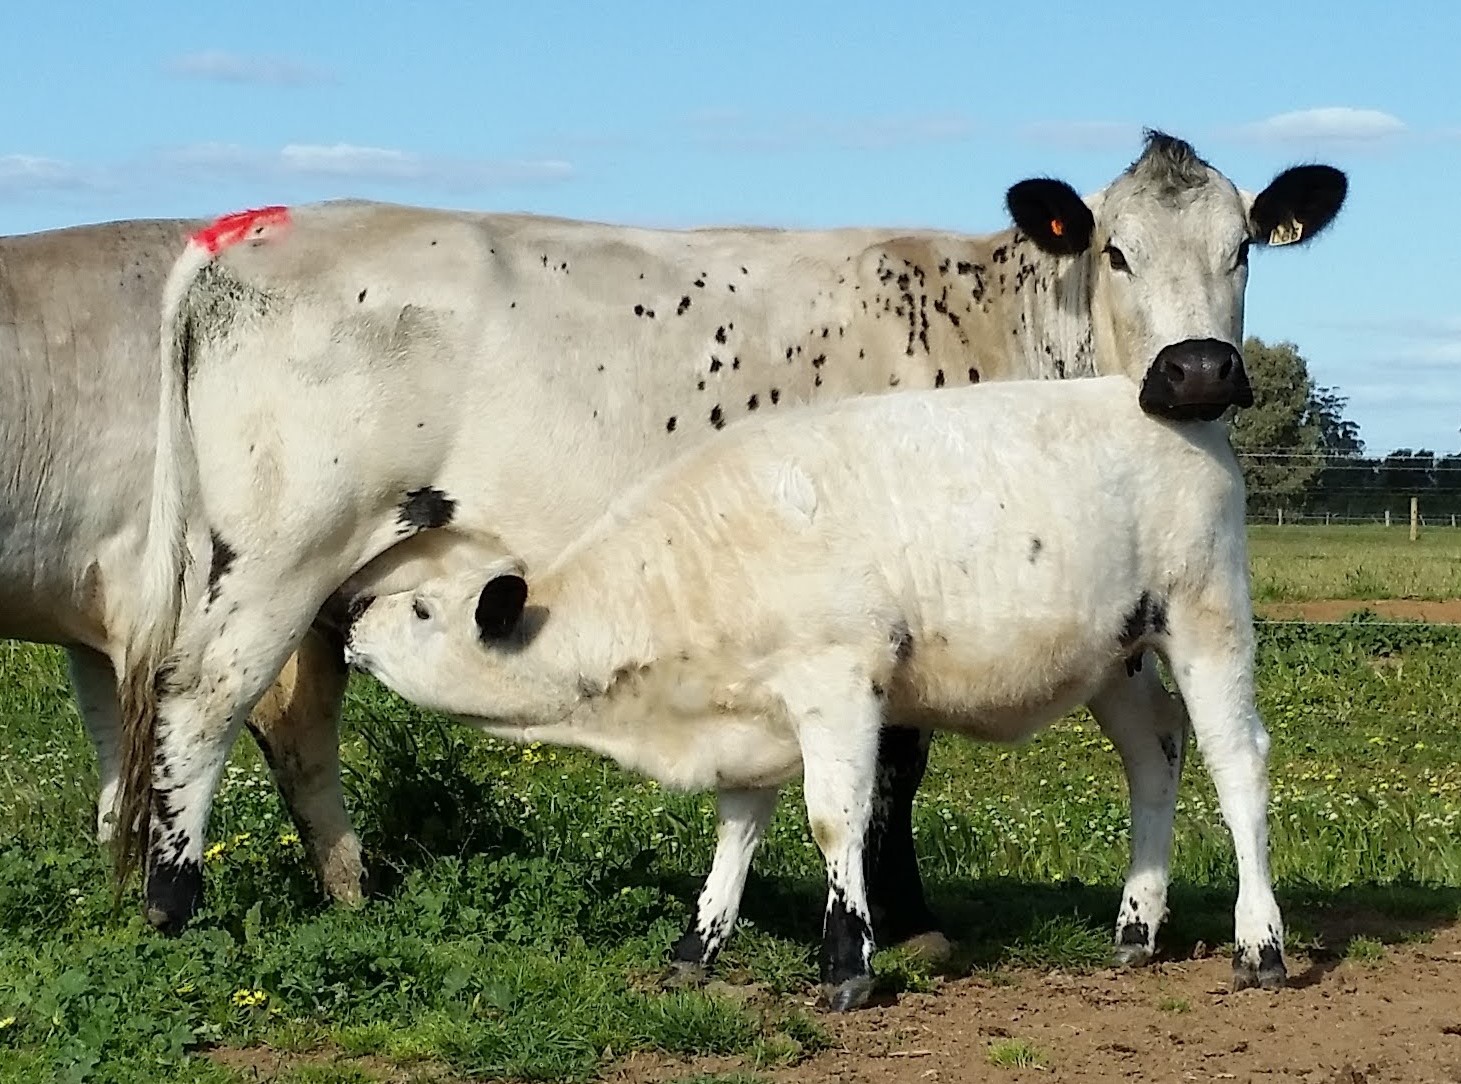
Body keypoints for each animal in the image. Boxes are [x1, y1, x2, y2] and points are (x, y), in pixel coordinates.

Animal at [339, 369, 1278, 1012]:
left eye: (422, 609)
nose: (348, 617)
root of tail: (1140, 391)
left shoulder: (838, 684)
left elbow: (835, 819)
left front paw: (845, 965)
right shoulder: (747, 718)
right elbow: (735, 830)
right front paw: (697, 947)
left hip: (1207, 620)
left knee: (1236, 763)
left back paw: (1258, 943)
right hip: (1120, 658)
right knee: (1154, 754)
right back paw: (1136, 925)